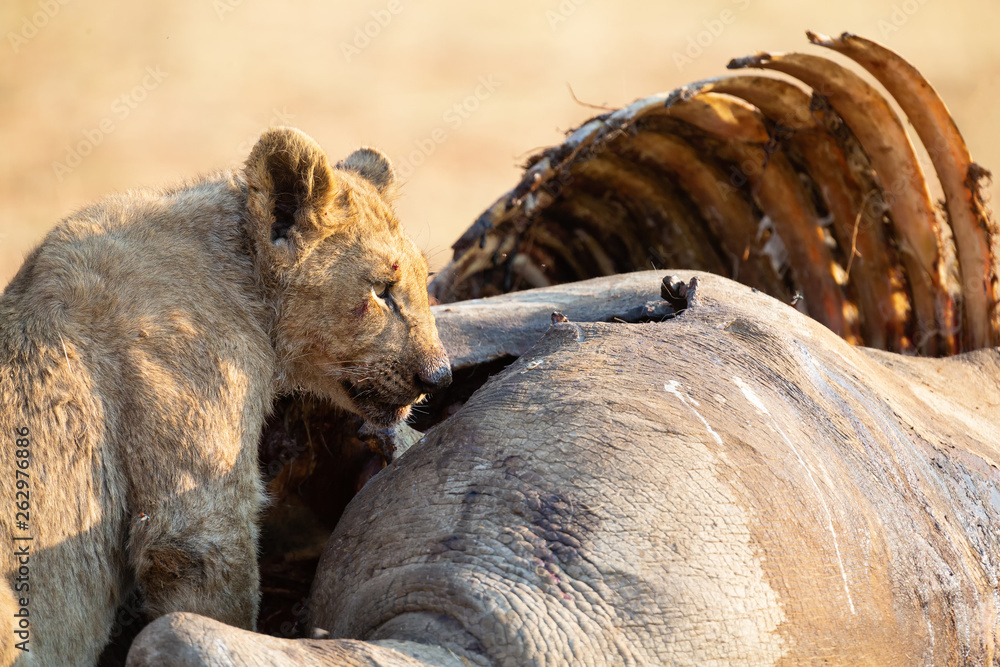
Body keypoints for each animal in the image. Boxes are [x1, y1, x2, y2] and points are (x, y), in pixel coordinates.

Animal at [0, 127, 451, 666]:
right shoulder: (195, 519)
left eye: (427, 281)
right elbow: (212, 588)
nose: (440, 376)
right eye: (381, 290)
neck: (242, 278)